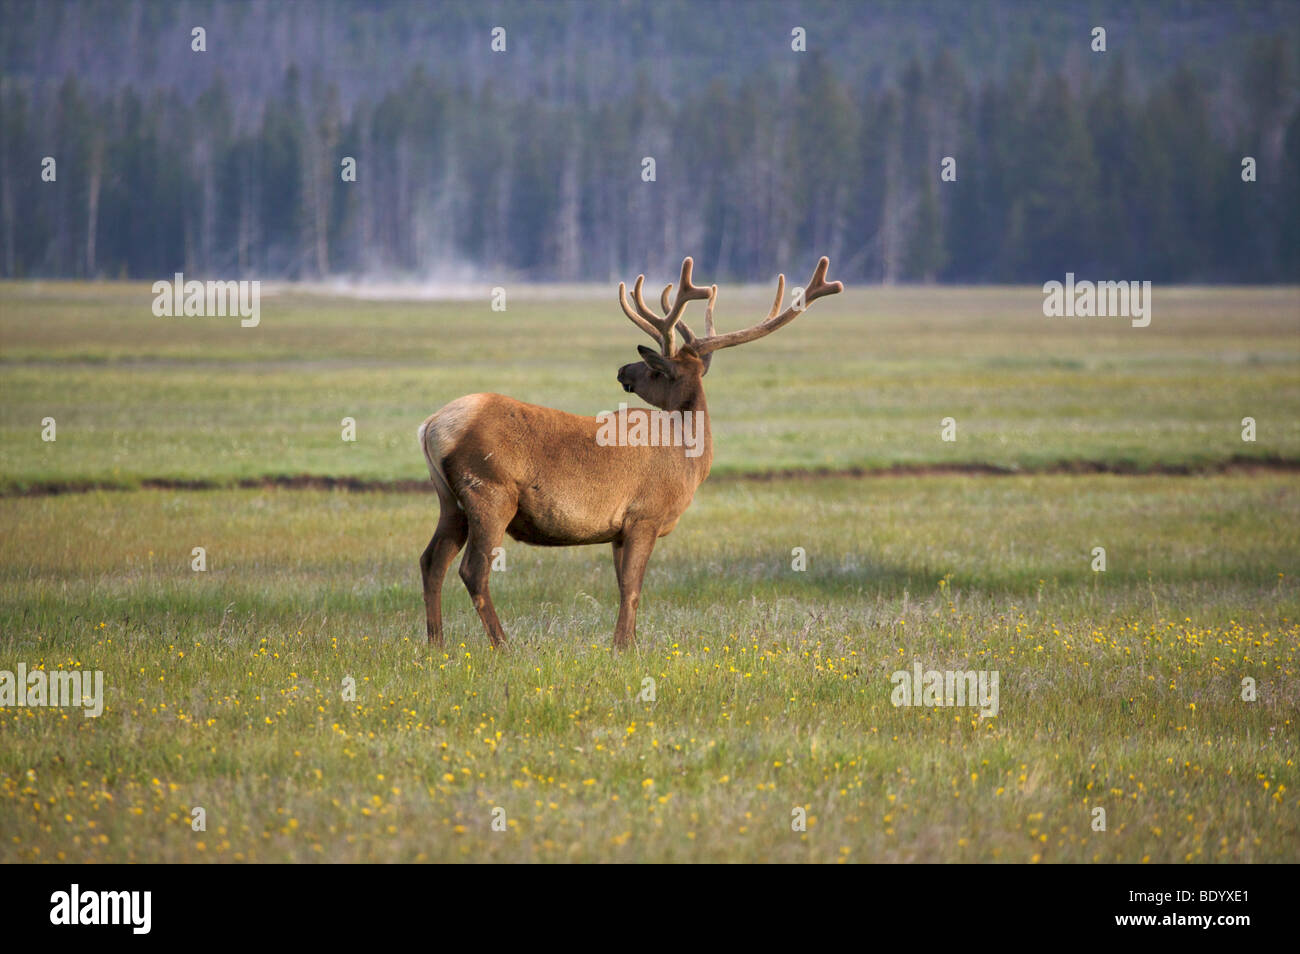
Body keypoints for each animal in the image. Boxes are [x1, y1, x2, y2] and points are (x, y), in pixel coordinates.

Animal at [417, 256, 843, 649]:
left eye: (654, 370)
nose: (623, 369)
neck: (688, 455)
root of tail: (431, 426)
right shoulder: (645, 514)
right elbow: (634, 587)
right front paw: (624, 647)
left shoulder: (618, 529)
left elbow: (623, 585)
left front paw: (626, 643)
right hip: (490, 491)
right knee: (473, 571)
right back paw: (504, 646)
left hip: (450, 501)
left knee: (431, 561)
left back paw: (437, 644)